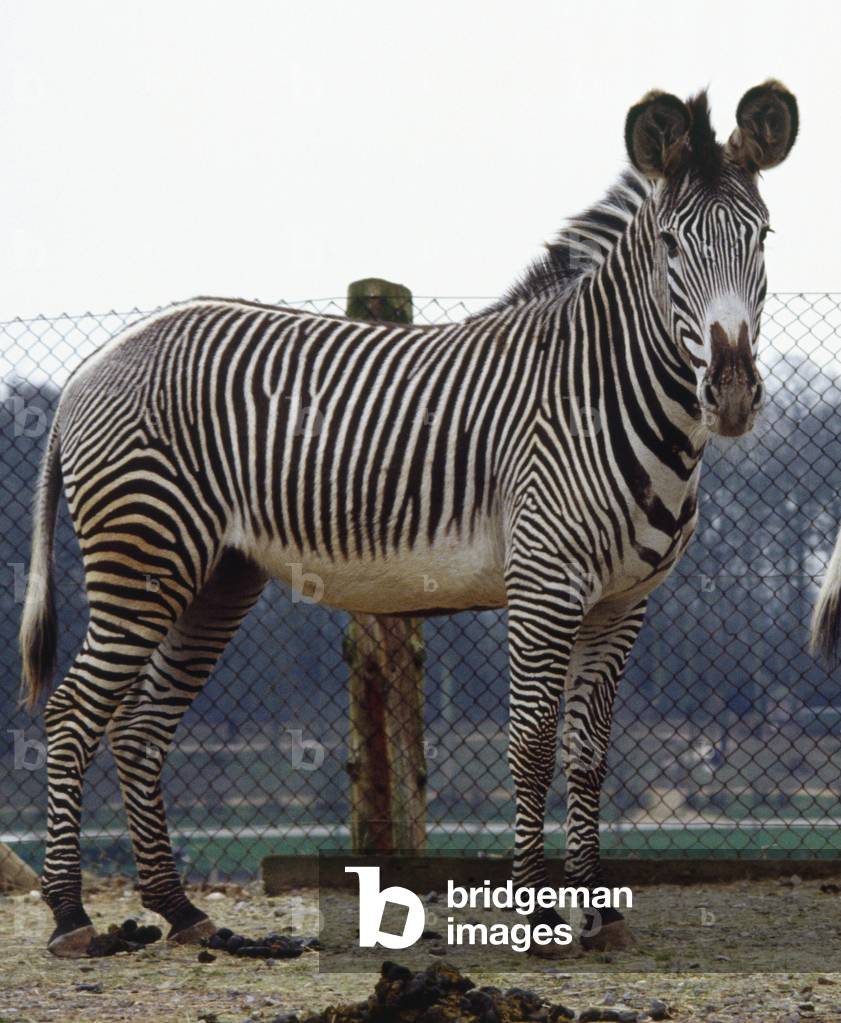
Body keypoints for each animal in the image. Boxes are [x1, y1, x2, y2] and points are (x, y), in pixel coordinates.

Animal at [19, 81, 797, 957]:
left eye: (762, 235)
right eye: (669, 244)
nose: (729, 393)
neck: (603, 393)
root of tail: (92, 365)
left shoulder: (624, 602)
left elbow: (589, 752)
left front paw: (596, 909)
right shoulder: (544, 585)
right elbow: (532, 744)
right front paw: (536, 911)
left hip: (217, 576)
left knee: (139, 725)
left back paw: (181, 910)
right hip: (144, 559)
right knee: (74, 712)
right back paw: (72, 915)